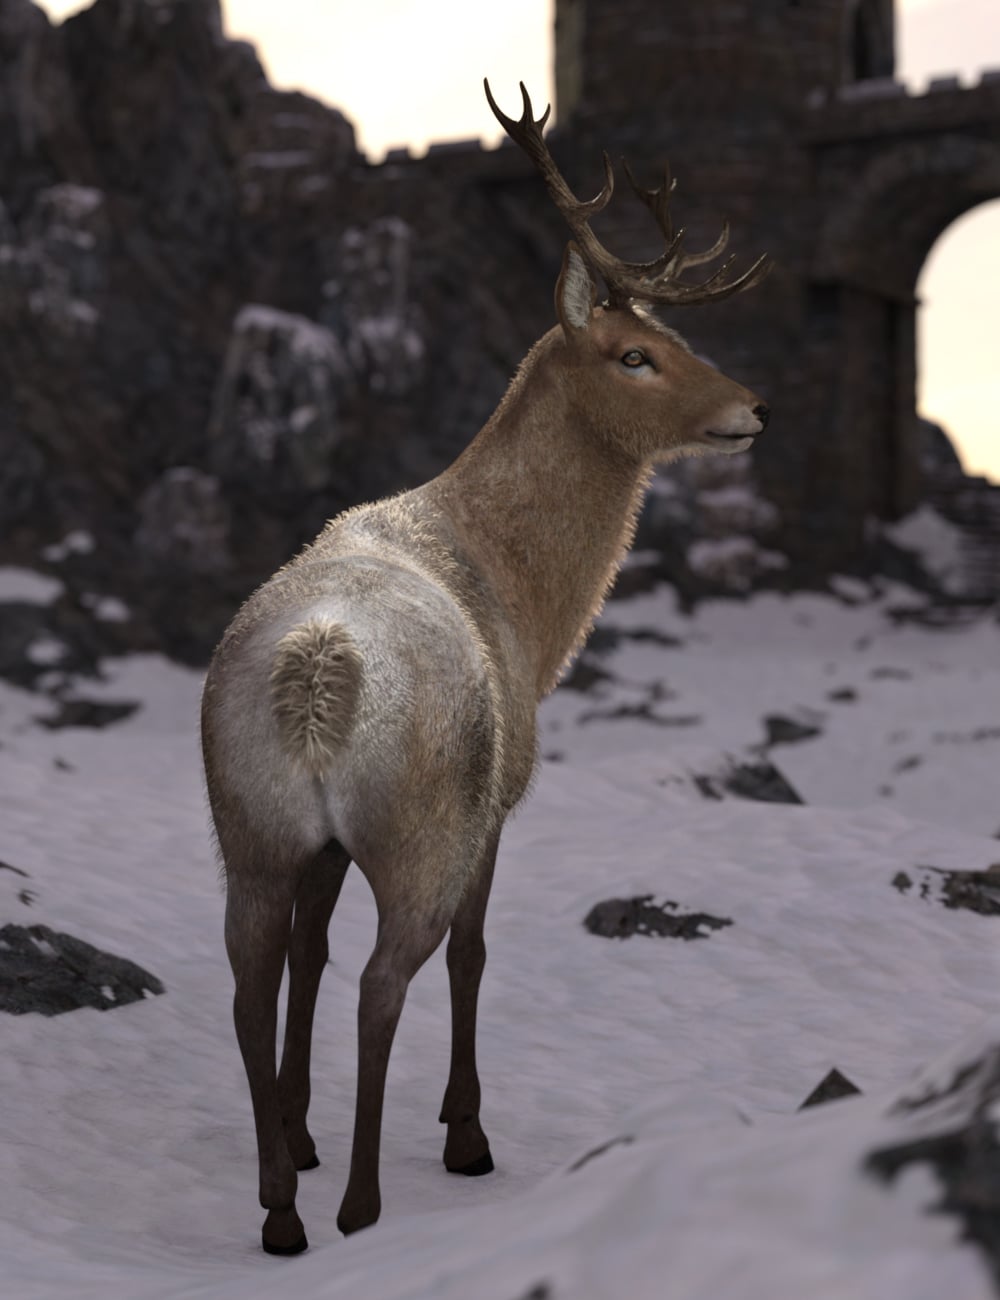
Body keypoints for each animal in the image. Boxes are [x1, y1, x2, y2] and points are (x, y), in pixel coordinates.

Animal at [200, 80, 771, 1255]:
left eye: (675, 333)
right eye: (633, 354)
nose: (753, 407)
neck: (527, 606)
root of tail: (318, 676)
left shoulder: (320, 844)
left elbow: (308, 956)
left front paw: (299, 1130)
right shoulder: (500, 798)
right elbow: (470, 952)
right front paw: (456, 1125)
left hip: (249, 822)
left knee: (250, 974)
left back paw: (279, 1205)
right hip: (424, 821)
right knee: (387, 979)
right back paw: (366, 1202)